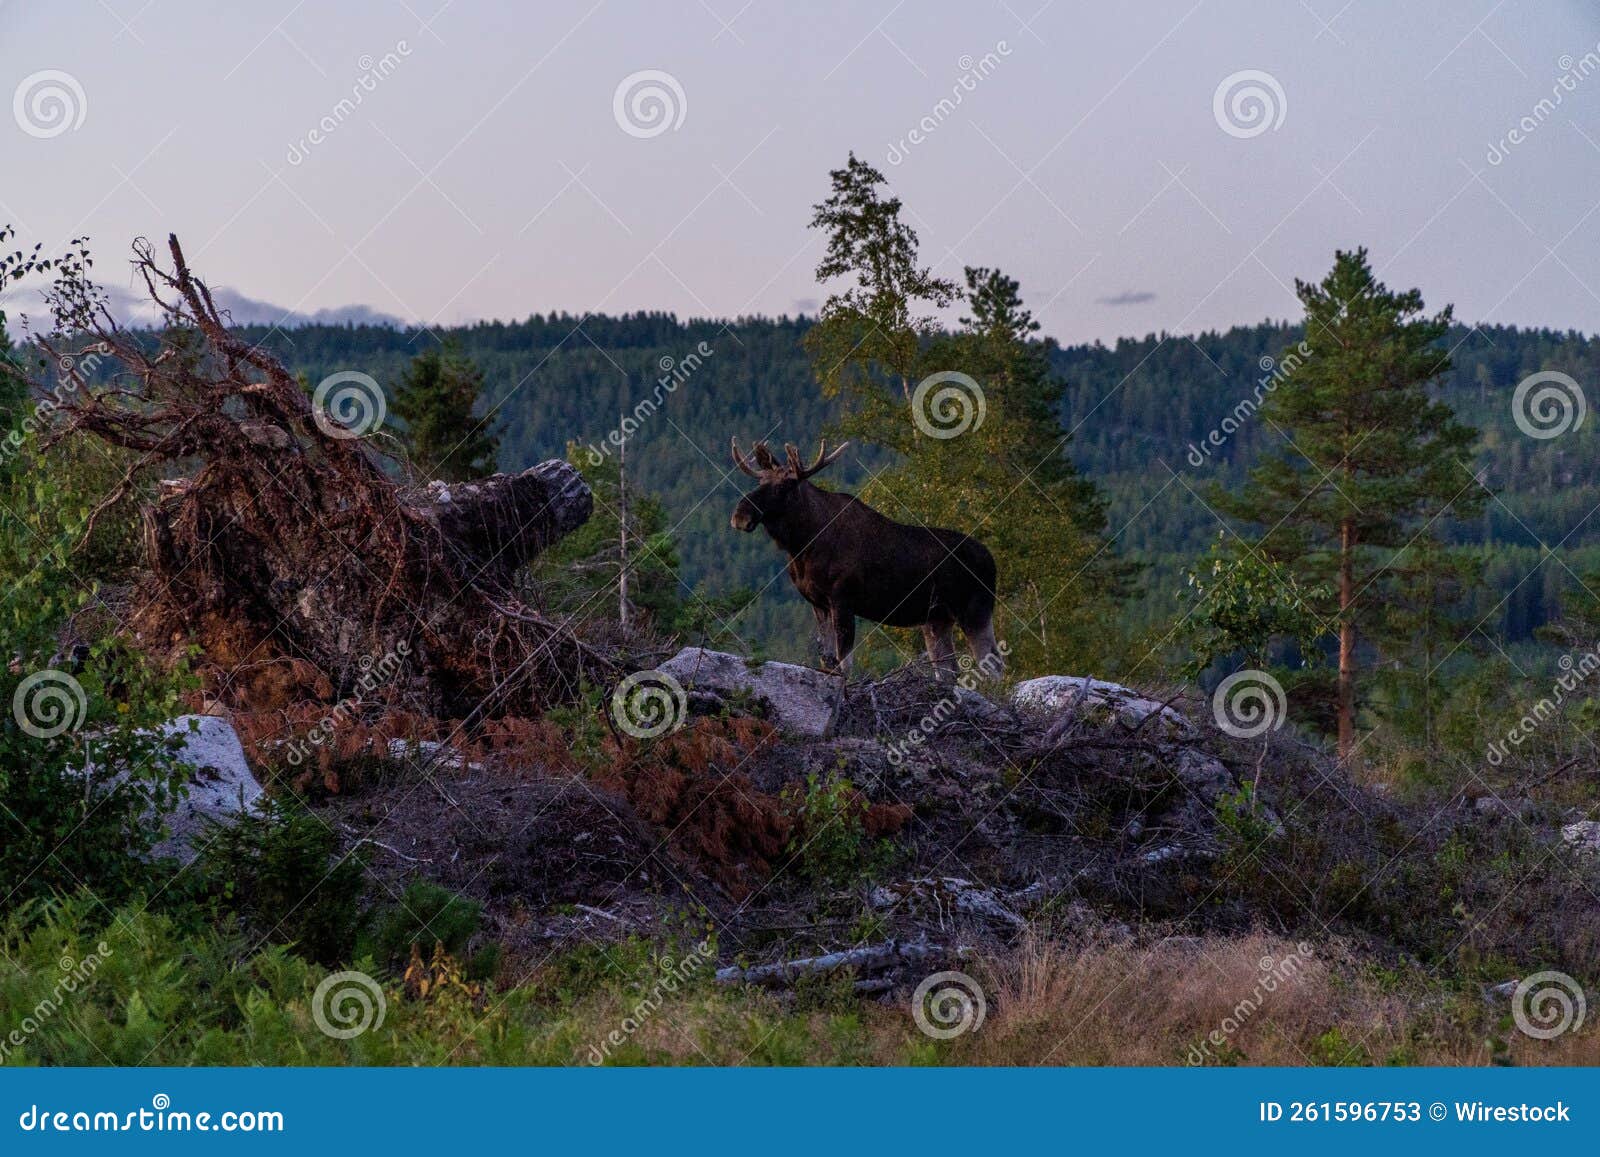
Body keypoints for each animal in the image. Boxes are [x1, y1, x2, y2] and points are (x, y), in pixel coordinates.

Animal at [730, 436, 1002, 680]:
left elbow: (845, 663)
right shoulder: (818, 603)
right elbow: (828, 660)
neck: (801, 546)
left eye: (783, 486)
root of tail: (992, 561)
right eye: (760, 480)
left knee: (993, 666)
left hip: (975, 610)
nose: (741, 515)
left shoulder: (843, 599)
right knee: (949, 670)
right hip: (936, 620)